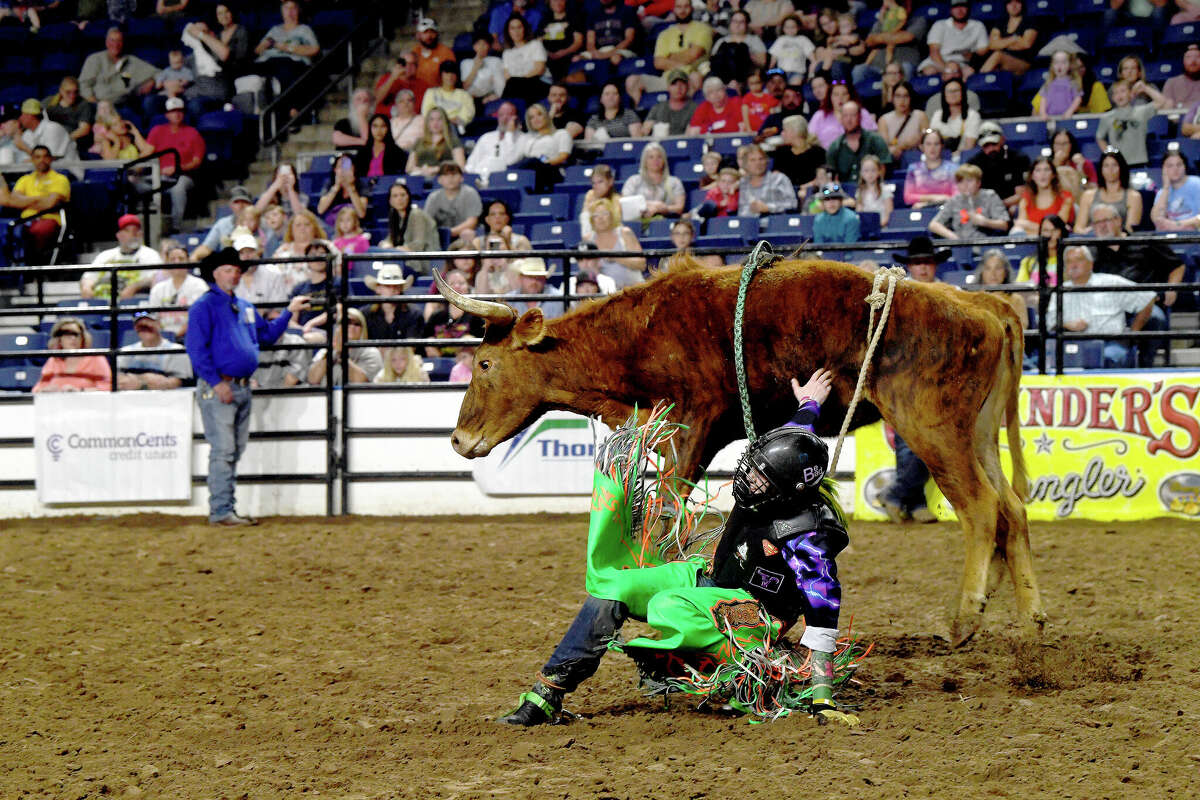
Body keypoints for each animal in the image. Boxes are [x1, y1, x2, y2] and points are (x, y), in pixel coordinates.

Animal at [434, 257, 1044, 647]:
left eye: (485, 363)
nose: (459, 440)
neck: (640, 333)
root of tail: (981, 302)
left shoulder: (693, 422)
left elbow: (668, 505)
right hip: (978, 430)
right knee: (1013, 508)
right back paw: (1029, 619)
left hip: (932, 425)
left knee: (982, 507)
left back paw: (964, 617)